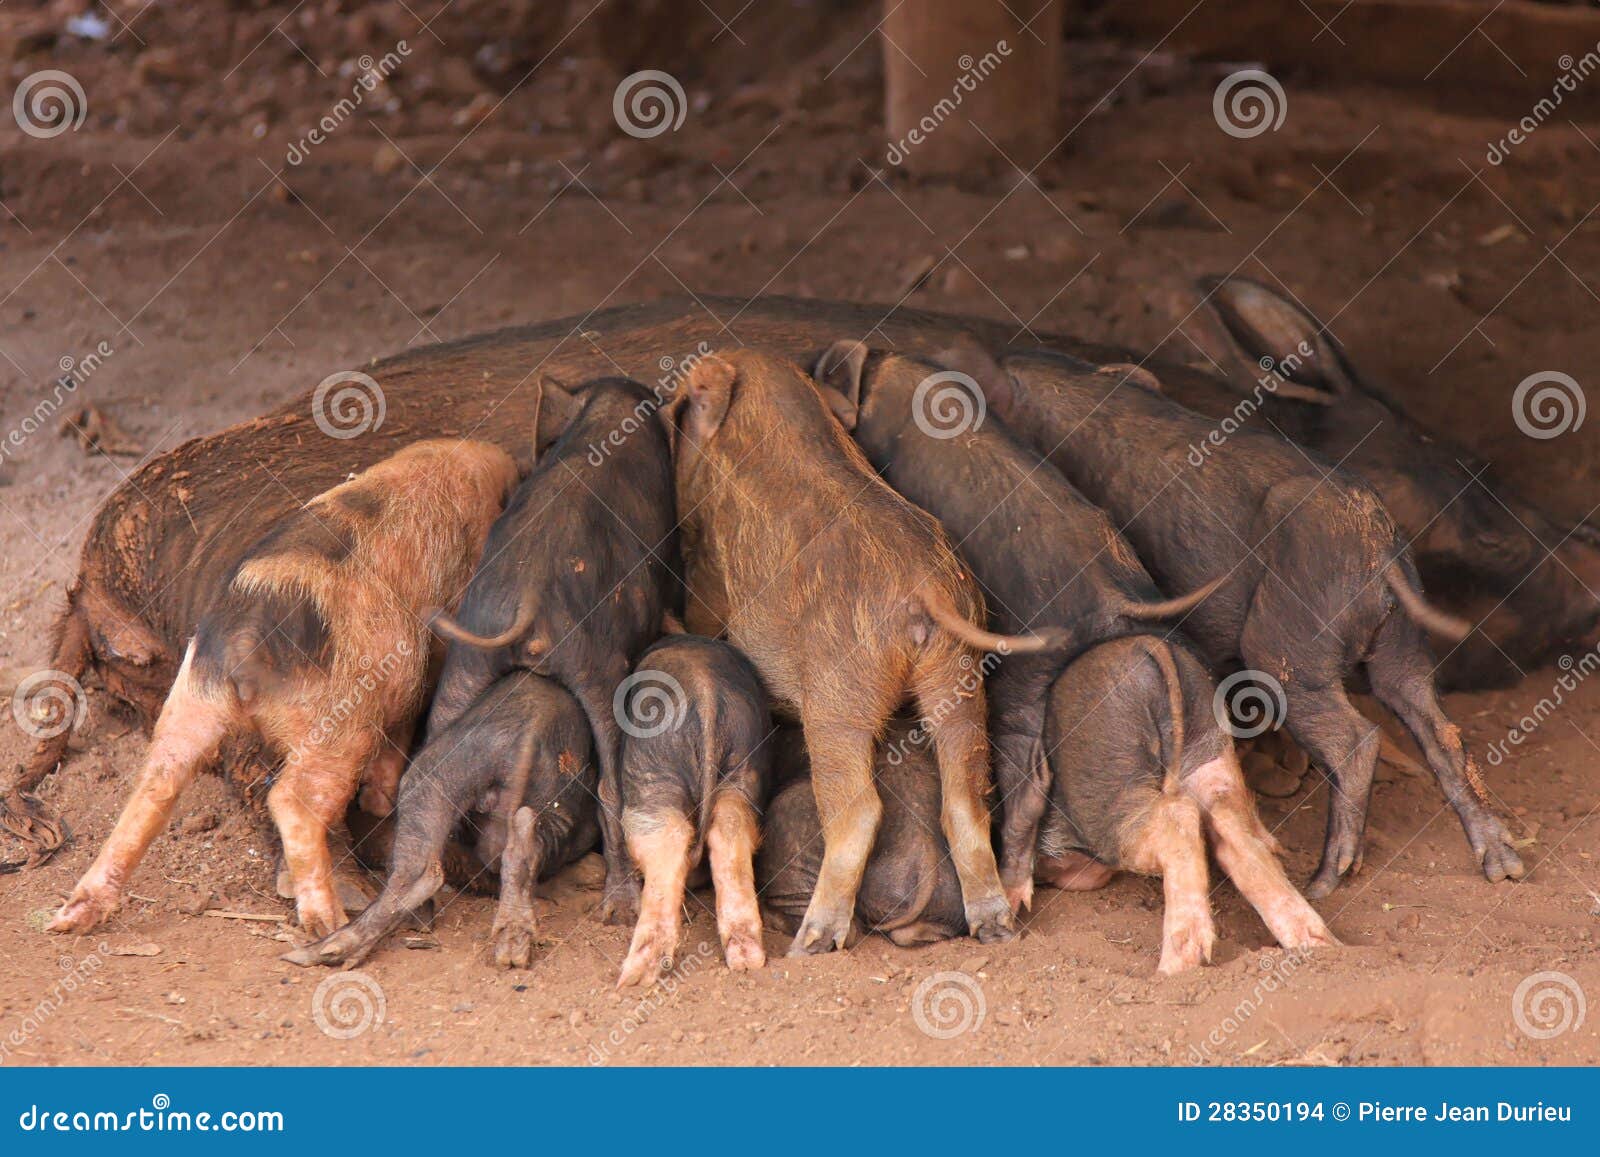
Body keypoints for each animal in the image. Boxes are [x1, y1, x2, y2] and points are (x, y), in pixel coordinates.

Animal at [47, 439, 519, 936]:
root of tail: (244, 643)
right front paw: (379, 803)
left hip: (192, 696)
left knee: (156, 781)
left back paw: (68, 919)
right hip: (338, 719)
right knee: (290, 798)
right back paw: (328, 923)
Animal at [415, 377, 677, 925]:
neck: (608, 413)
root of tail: (529, 595)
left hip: (467, 660)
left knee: (436, 741)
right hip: (595, 666)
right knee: (610, 784)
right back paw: (620, 909)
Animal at [614, 635, 774, 986]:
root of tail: (707, 693)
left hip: (653, 766)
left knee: (665, 837)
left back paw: (632, 978)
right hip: (744, 764)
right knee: (731, 828)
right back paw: (747, 960)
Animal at [945, 344, 1526, 896]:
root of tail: (1377, 550)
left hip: (1288, 644)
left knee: (1355, 738)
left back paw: (1324, 881)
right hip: (1401, 640)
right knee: (1438, 726)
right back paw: (1504, 864)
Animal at [1037, 636, 1335, 972]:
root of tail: (1142, 645)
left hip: (1106, 788)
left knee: (1178, 821)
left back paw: (1174, 970)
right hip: (1208, 748)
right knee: (1232, 829)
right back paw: (1320, 945)